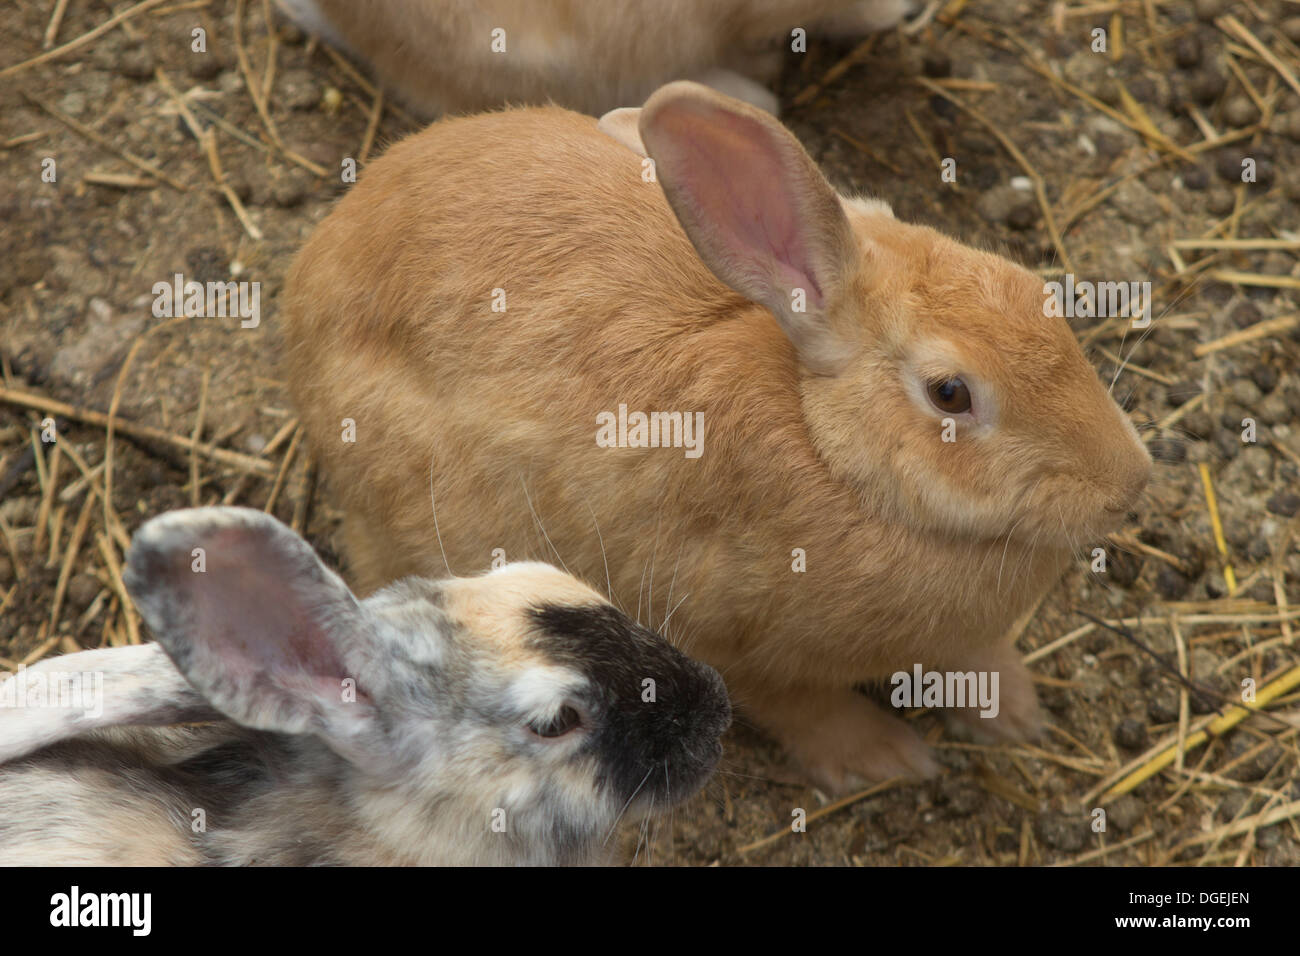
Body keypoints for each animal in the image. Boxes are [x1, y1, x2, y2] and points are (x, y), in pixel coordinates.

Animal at [280, 81, 1153, 792]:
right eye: (950, 393)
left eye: (1034, 290)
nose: (1126, 486)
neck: (833, 454)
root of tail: (310, 277)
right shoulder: (734, 644)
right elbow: (802, 707)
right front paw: (888, 760)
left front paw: (1018, 712)